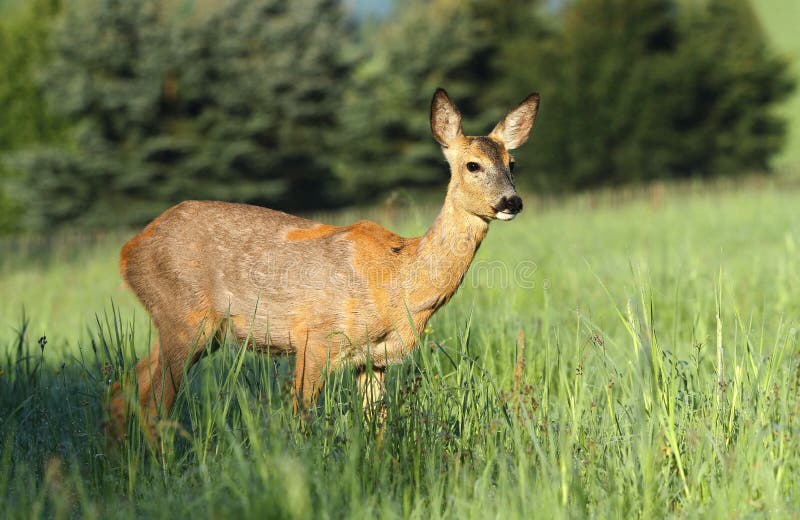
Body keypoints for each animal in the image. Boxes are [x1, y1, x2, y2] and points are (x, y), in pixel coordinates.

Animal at [107, 88, 539, 441]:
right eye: (472, 165)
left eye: (513, 163)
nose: (511, 201)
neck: (399, 279)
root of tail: (128, 252)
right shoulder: (314, 339)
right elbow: (301, 421)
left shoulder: (373, 359)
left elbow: (378, 427)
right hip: (184, 316)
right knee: (154, 402)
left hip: (195, 329)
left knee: (123, 389)